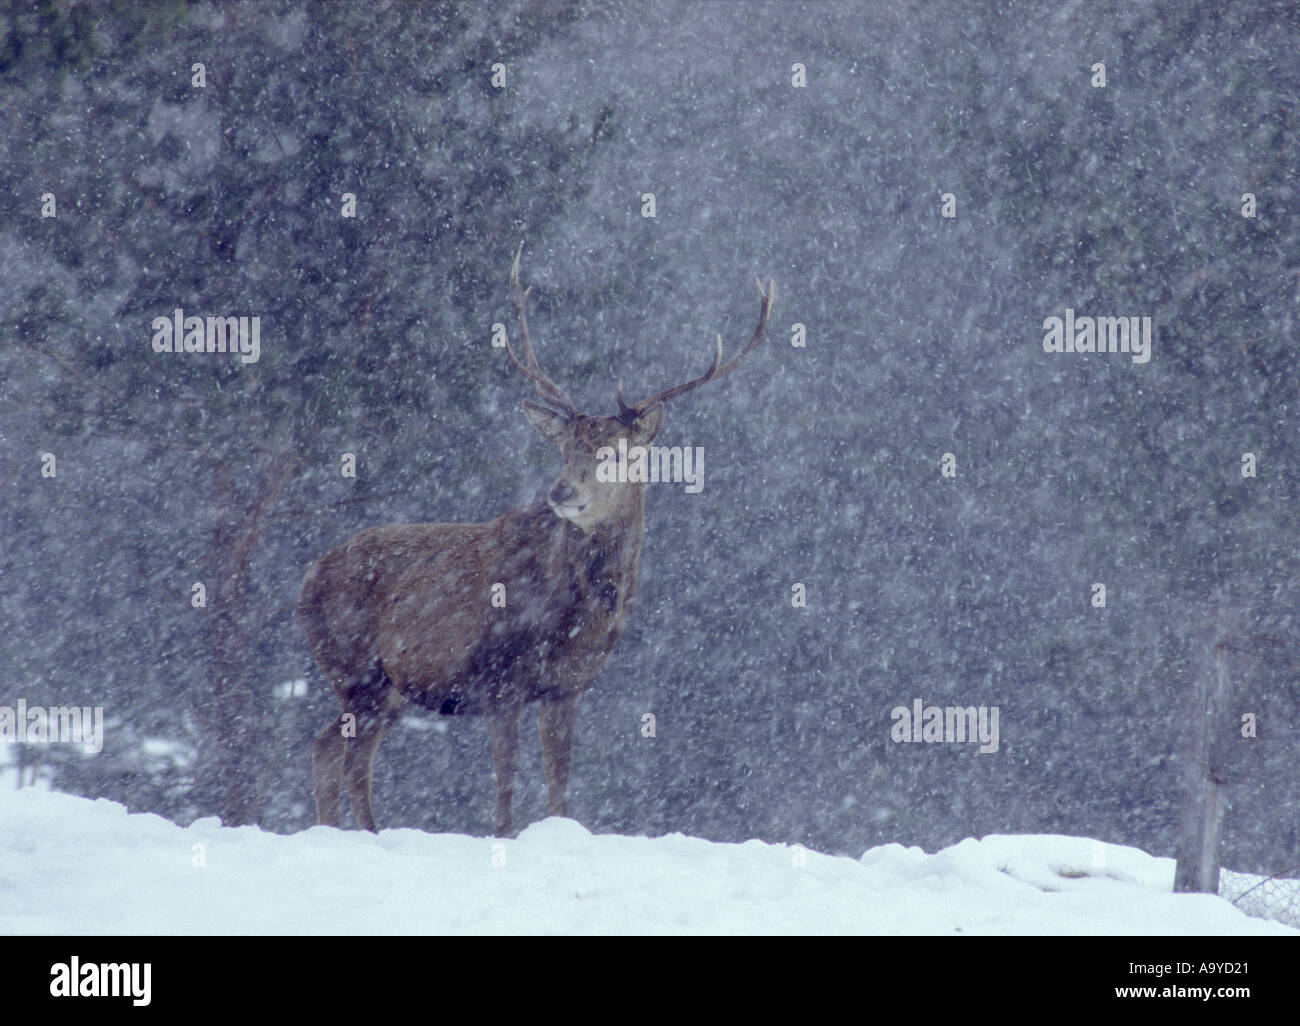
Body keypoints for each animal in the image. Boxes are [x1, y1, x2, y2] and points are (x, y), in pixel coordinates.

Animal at [299, 247, 774, 835]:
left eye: (616, 453)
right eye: (564, 448)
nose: (562, 490)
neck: (570, 618)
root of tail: (307, 578)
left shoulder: (569, 686)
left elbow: (559, 782)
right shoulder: (498, 679)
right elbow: (506, 784)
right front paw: (503, 835)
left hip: (384, 686)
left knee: (331, 748)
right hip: (355, 667)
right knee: (343, 755)